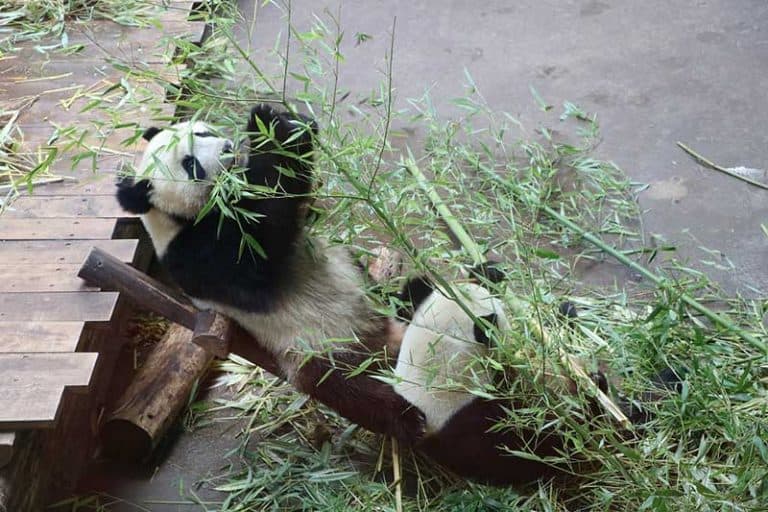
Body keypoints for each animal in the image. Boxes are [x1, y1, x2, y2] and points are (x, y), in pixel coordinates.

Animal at [116, 104, 425, 443]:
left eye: (203, 133)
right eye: (190, 164)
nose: (228, 149)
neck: (174, 218)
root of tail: (378, 342)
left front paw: (279, 120)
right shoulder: (195, 257)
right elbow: (257, 259)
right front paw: (269, 129)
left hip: (359, 284)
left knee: (405, 298)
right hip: (316, 349)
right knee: (351, 390)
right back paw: (409, 417)